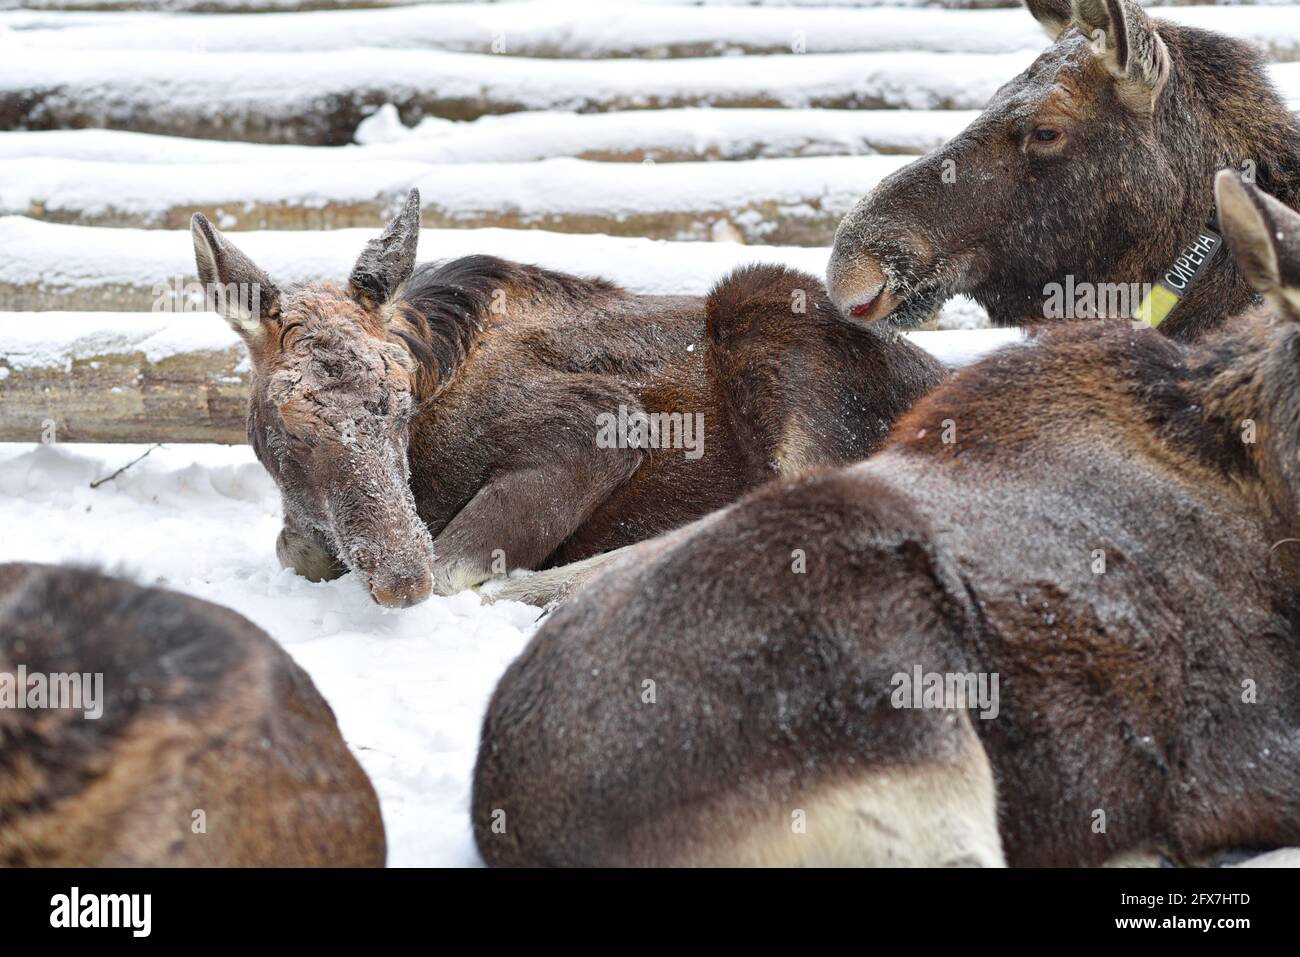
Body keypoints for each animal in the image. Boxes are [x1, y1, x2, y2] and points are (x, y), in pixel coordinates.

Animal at [191, 191, 945, 608]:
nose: (400, 578)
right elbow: (297, 548)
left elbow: (453, 565)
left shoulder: (602, 424)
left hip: (764, 308)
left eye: (401, 406)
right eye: (291, 422)